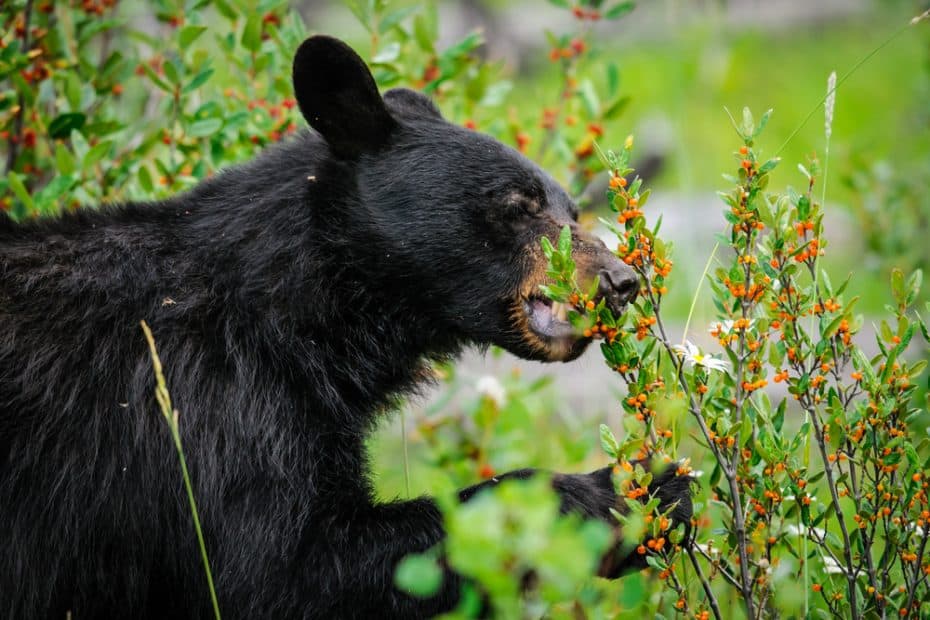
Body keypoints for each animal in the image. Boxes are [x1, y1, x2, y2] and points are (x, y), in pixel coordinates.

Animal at [0, 35, 691, 619]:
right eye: (517, 205)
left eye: (572, 210)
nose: (623, 281)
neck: (296, 305)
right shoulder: (211, 407)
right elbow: (281, 569)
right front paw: (625, 494)